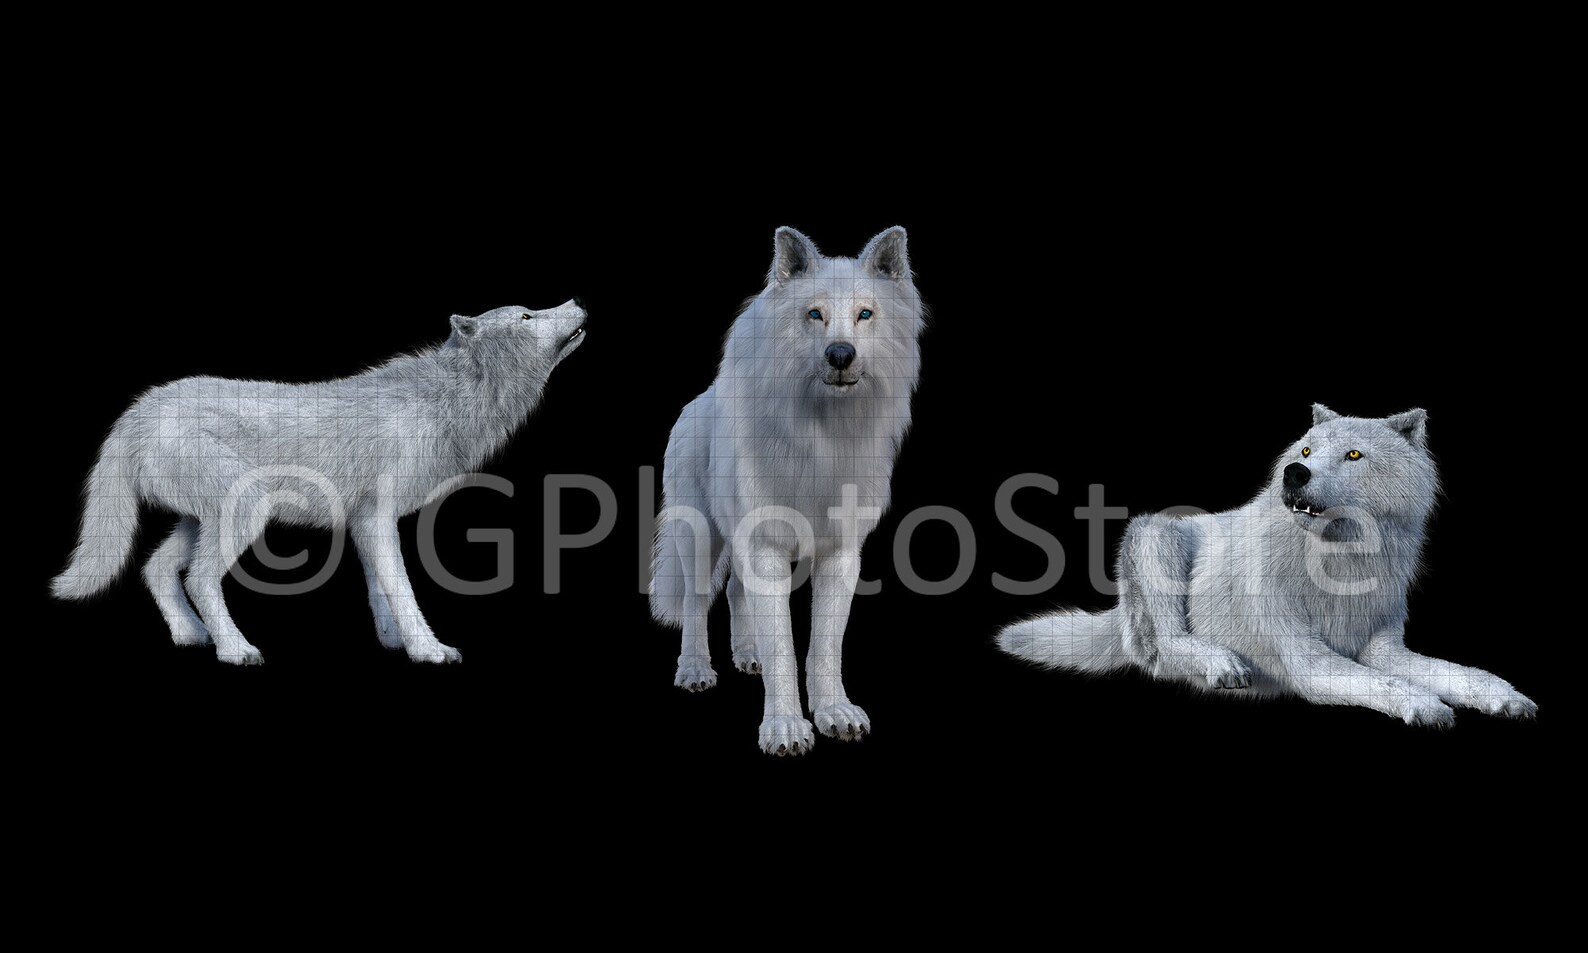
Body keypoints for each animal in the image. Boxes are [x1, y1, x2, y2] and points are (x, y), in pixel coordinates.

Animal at [52, 302, 587, 664]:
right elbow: (404, 589)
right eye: (526, 316)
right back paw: (235, 650)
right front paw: (429, 650)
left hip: (200, 523)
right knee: (198, 578)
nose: (576, 302)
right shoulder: (377, 518)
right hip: (246, 514)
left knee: (156, 568)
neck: (447, 399)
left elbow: (381, 590)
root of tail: (138, 410)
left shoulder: (365, 523)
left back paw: (190, 635)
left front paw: (394, 642)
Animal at [651, 227, 925, 755]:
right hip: (701, 538)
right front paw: (784, 728)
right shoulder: (766, 549)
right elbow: (784, 646)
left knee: (735, 591)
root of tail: (699, 400)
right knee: (697, 601)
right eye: (814, 314)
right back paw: (694, 671)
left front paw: (835, 713)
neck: (823, 438)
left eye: (865, 314)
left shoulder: (839, 555)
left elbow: (823, 647)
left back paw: (746, 656)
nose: (840, 355)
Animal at [998, 405, 1535, 725]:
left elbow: (1453, 671)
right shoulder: (1309, 661)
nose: (1293, 473)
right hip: (1158, 535)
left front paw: (1505, 696)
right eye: (1306, 450)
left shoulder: (1380, 646)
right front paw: (1426, 705)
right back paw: (1220, 664)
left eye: (1354, 454)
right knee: (1162, 646)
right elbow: (1385, 683)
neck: (1340, 565)